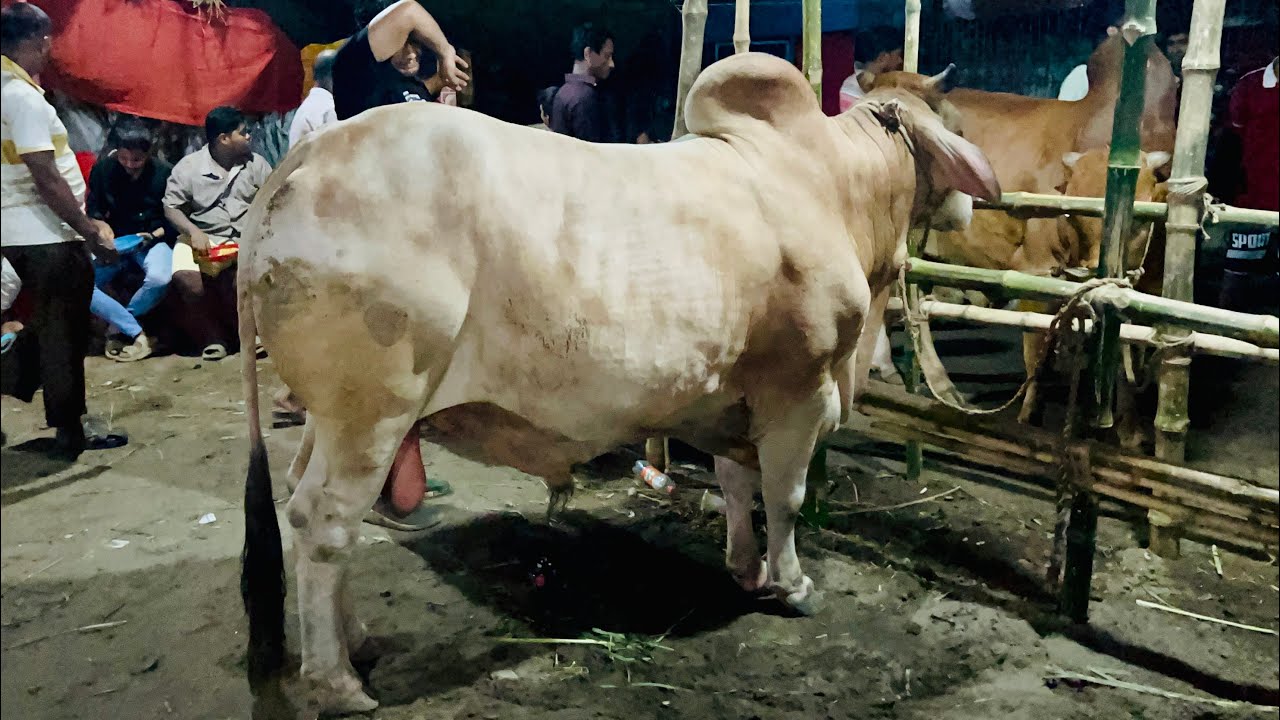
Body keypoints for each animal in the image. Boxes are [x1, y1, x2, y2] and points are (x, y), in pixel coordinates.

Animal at [236, 52, 999, 715]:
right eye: (958, 126)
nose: (971, 211)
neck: (840, 187)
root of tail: (307, 158)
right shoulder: (800, 391)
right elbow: (785, 497)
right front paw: (792, 583)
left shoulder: (737, 394)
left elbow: (735, 483)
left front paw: (745, 569)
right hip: (375, 412)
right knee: (324, 522)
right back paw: (336, 681)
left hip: (333, 417)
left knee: (304, 503)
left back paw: (357, 643)